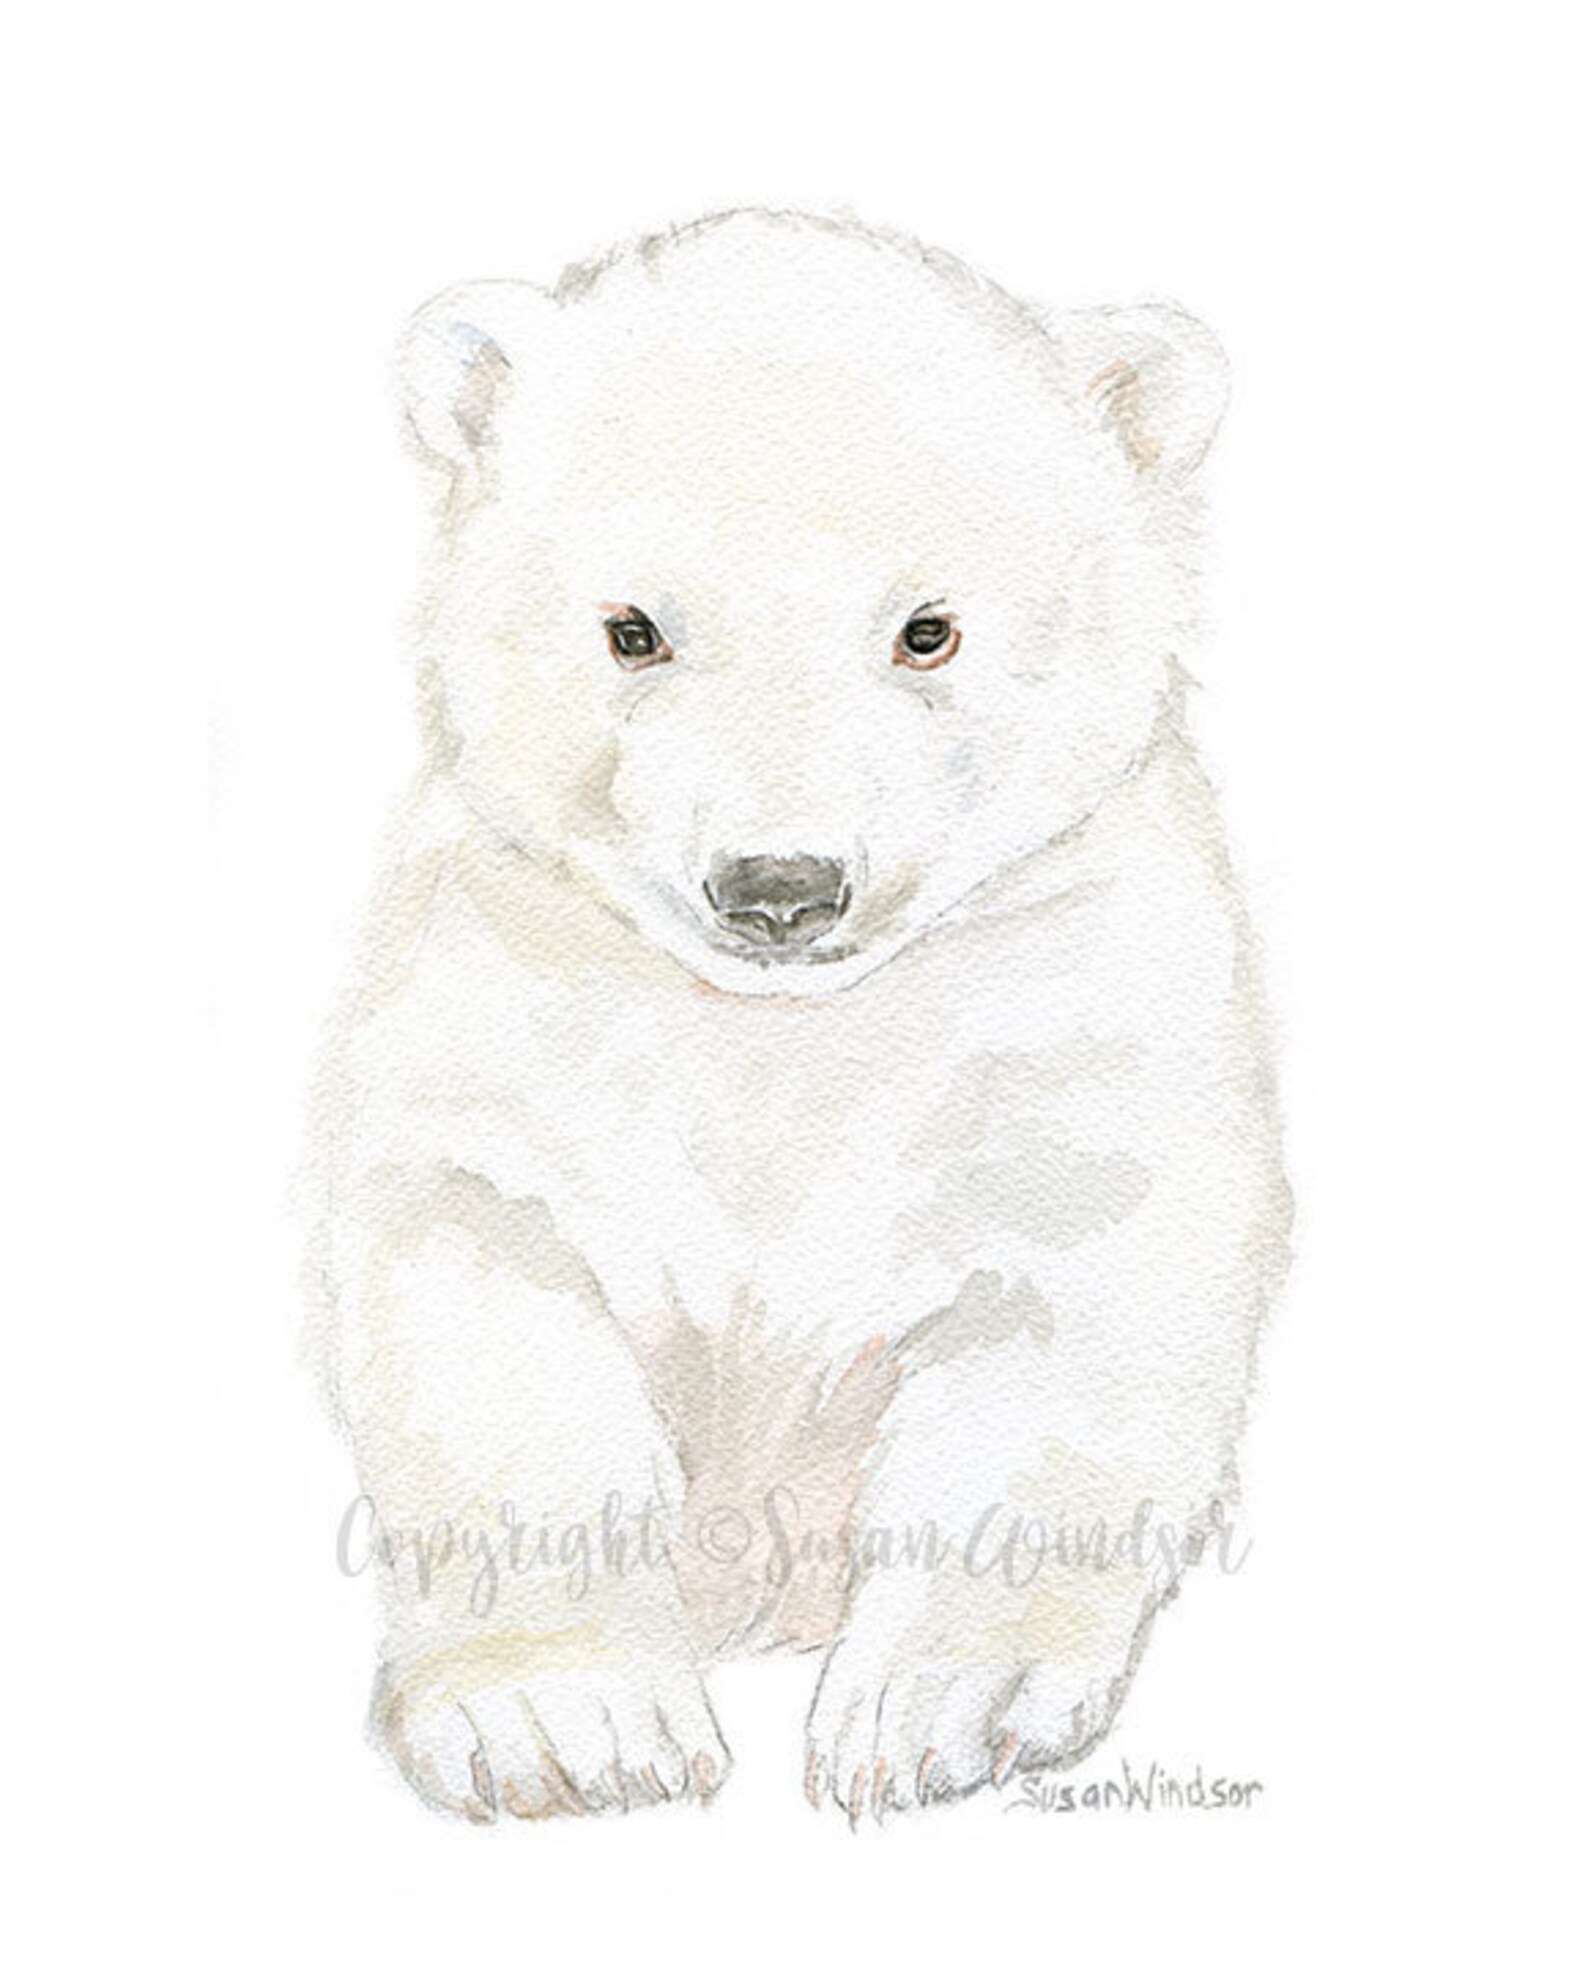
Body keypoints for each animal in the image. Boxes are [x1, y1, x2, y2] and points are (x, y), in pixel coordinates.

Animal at [309, 208, 1290, 1825]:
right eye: (632, 629)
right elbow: (491, 1305)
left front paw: (940, 1707)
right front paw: (568, 1725)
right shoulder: (509, 999)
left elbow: (1071, 1315)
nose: (780, 886)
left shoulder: (1071, 1006)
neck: (785, 1038)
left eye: (928, 630)